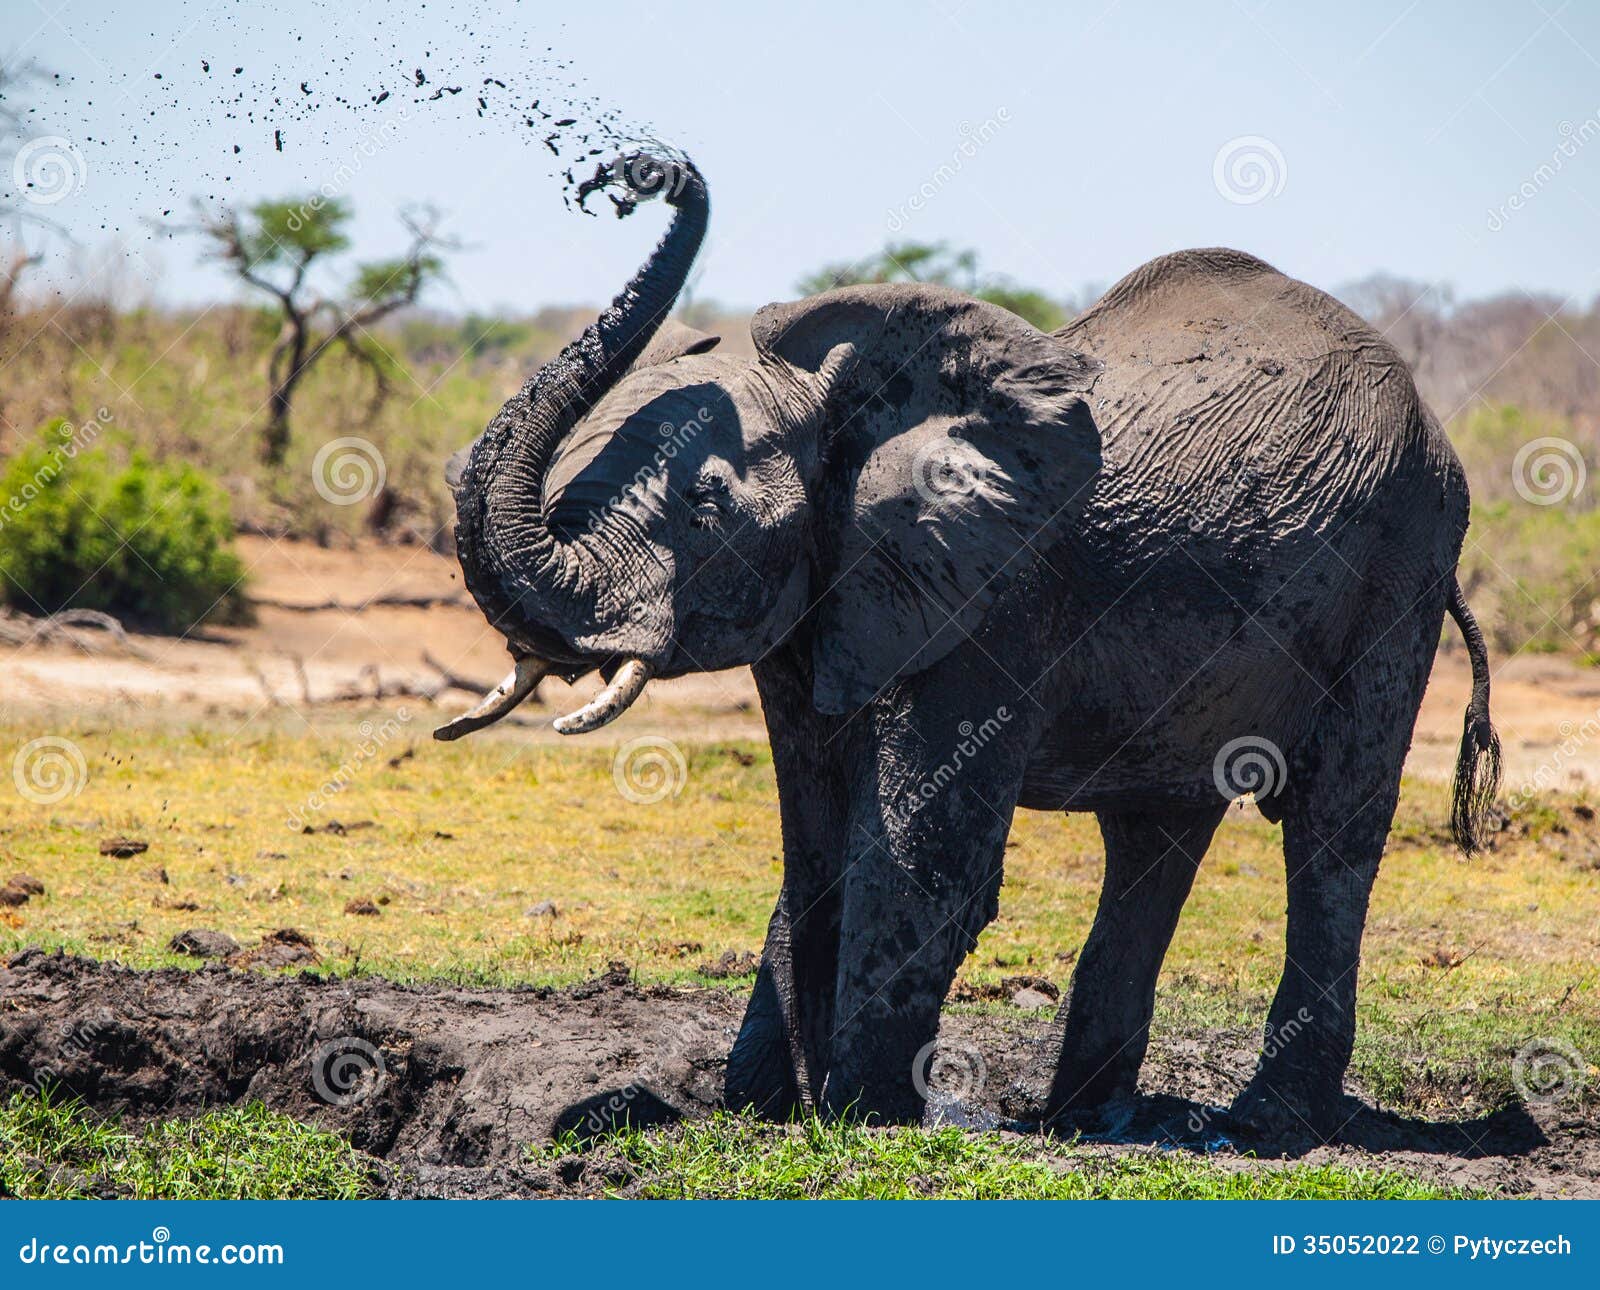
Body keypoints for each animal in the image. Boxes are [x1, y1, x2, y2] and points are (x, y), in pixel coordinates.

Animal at [435, 151, 1501, 1139]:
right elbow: (814, 839)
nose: (637, 170)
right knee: (1155, 838)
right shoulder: (819, 601)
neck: (853, 404)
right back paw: (1088, 1120)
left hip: (1399, 574)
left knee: (1331, 831)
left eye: (704, 502)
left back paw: (1266, 1128)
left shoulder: (994, 597)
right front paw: (758, 1107)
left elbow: (921, 848)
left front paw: (860, 1117)